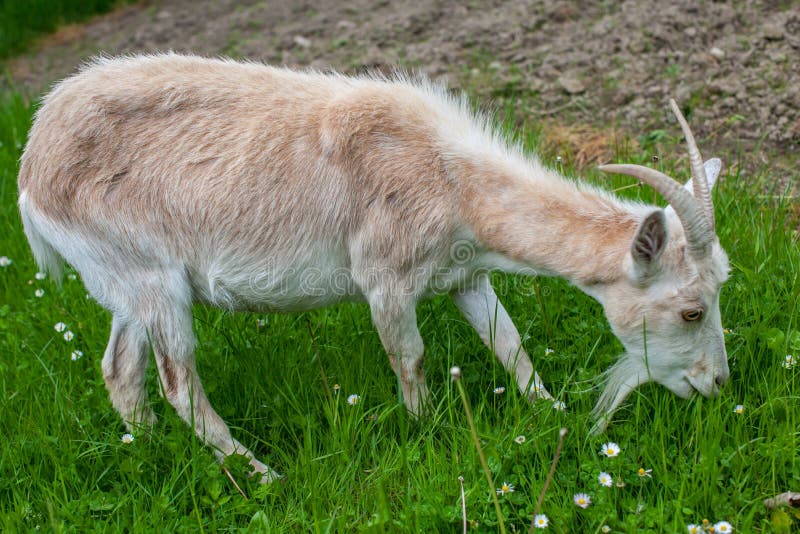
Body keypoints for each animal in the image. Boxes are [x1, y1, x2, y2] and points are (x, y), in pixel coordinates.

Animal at [18, 54, 730, 482]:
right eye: (692, 308)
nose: (718, 385)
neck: (451, 176)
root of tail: (29, 169)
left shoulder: (464, 275)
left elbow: (509, 343)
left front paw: (552, 413)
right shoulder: (384, 279)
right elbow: (408, 356)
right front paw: (427, 434)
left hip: (123, 287)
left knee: (121, 370)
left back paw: (148, 453)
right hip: (152, 279)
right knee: (178, 382)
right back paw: (262, 476)